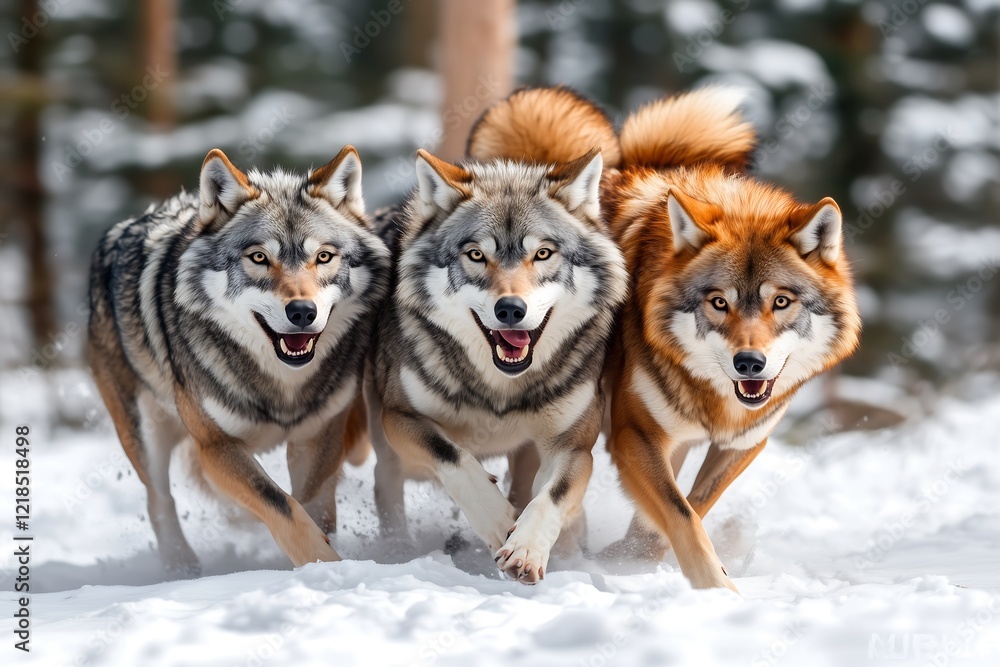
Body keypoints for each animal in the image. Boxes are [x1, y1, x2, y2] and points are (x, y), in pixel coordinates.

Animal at [88, 146, 390, 574]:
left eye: (324, 256)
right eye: (259, 257)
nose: (302, 312)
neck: (282, 389)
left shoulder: (318, 436)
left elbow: (311, 507)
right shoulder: (216, 447)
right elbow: (282, 505)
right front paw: (324, 565)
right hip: (145, 432)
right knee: (159, 500)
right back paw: (181, 568)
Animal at [367, 87, 628, 584]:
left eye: (542, 253)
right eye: (476, 255)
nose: (511, 309)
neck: (498, 393)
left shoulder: (573, 445)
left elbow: (551, 497)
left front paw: (525, 548)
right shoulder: (399, 418)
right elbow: (452, 455)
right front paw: (498, 520)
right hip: (389, 452)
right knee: (386, 492)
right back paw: (397, 552)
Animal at [595, 88, 862, 592]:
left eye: (781, 302)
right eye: (719, 302)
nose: (749, 363)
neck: (717, 402)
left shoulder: (741, 444)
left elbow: (693, 505)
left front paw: (632, 559)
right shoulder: (632, 432)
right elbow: (681, 514)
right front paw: (718, 591)